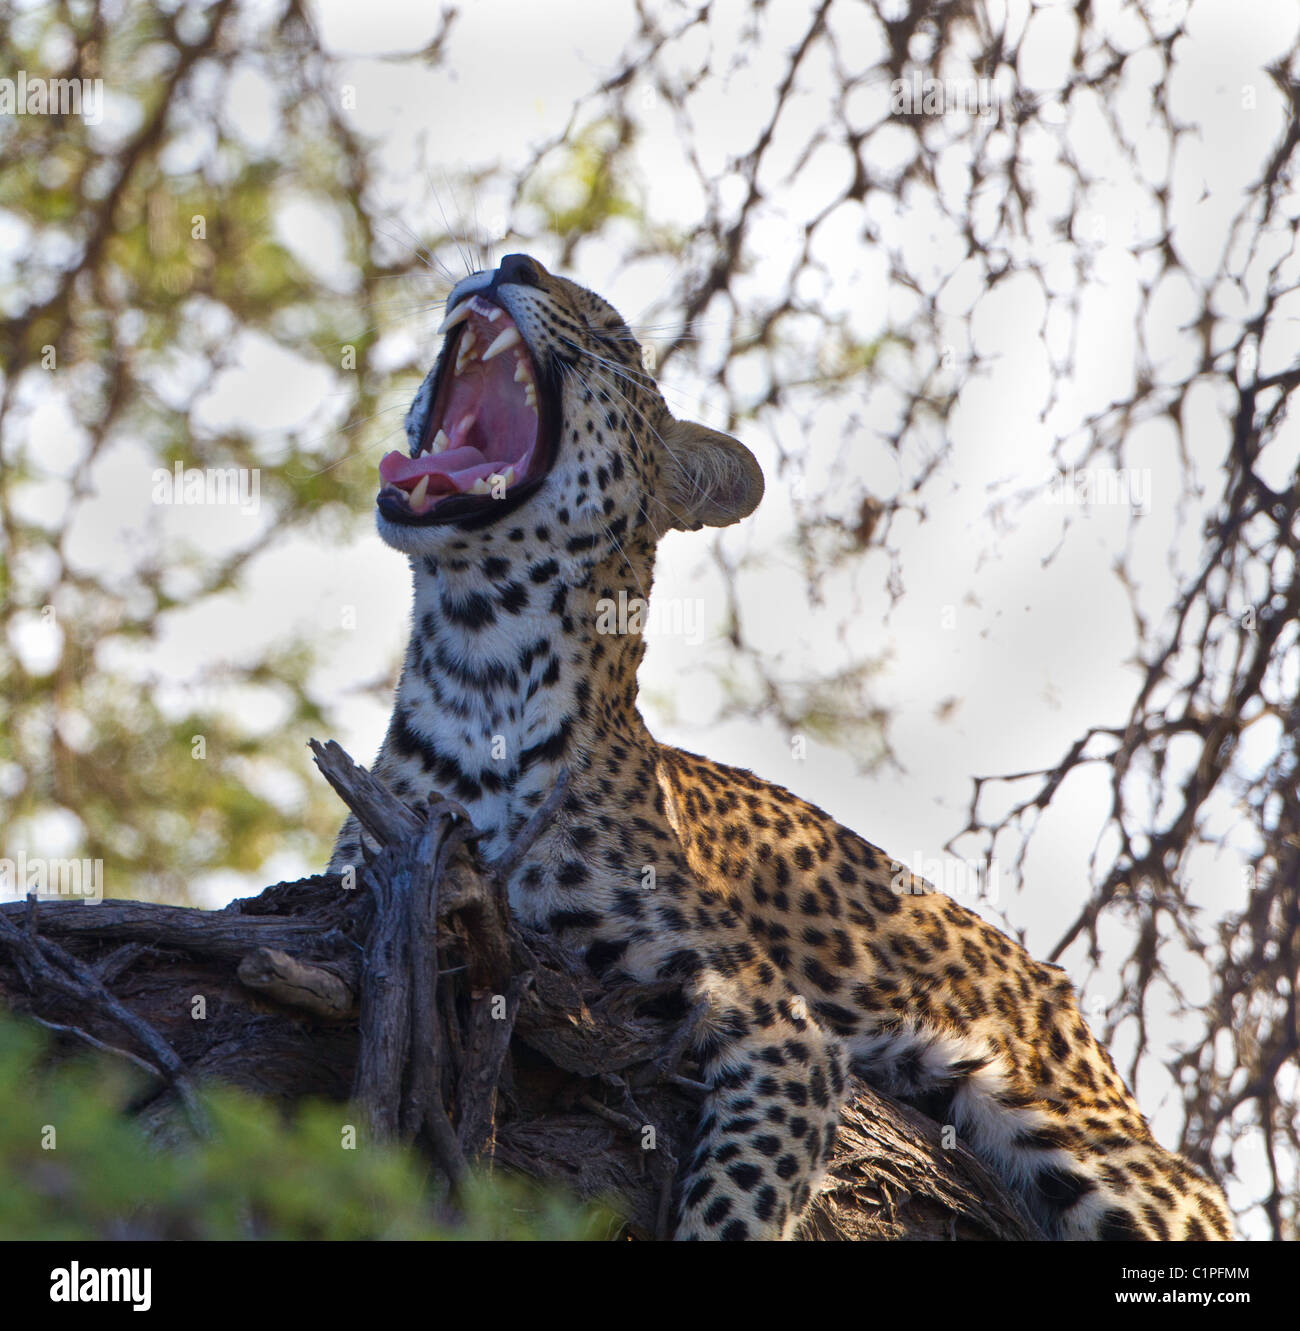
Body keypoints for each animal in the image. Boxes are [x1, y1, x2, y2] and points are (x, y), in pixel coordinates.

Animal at [329, 252, 1233, 1241]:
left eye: (613, 337)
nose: (509, 261)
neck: (474, 667)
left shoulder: (777, 1024)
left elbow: (733, 1207)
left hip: (1122, 1169)